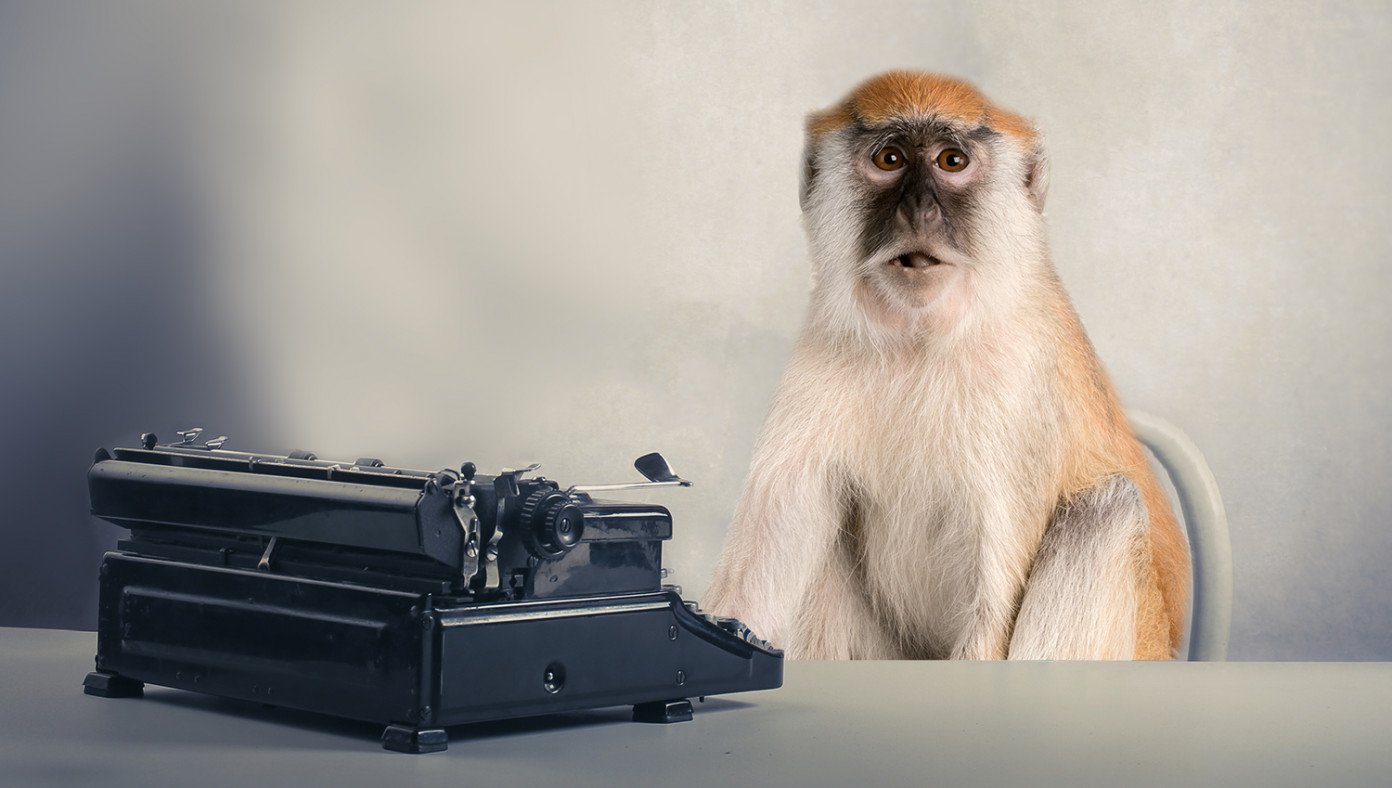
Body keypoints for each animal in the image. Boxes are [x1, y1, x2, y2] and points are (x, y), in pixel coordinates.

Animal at [703, 71, 1190, 660]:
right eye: (889, 158)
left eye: (952, 161)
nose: (918, 211)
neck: (923, 343)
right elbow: (748, 592)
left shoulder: (1021, 384)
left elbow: (991, 618)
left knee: (1106, 511)